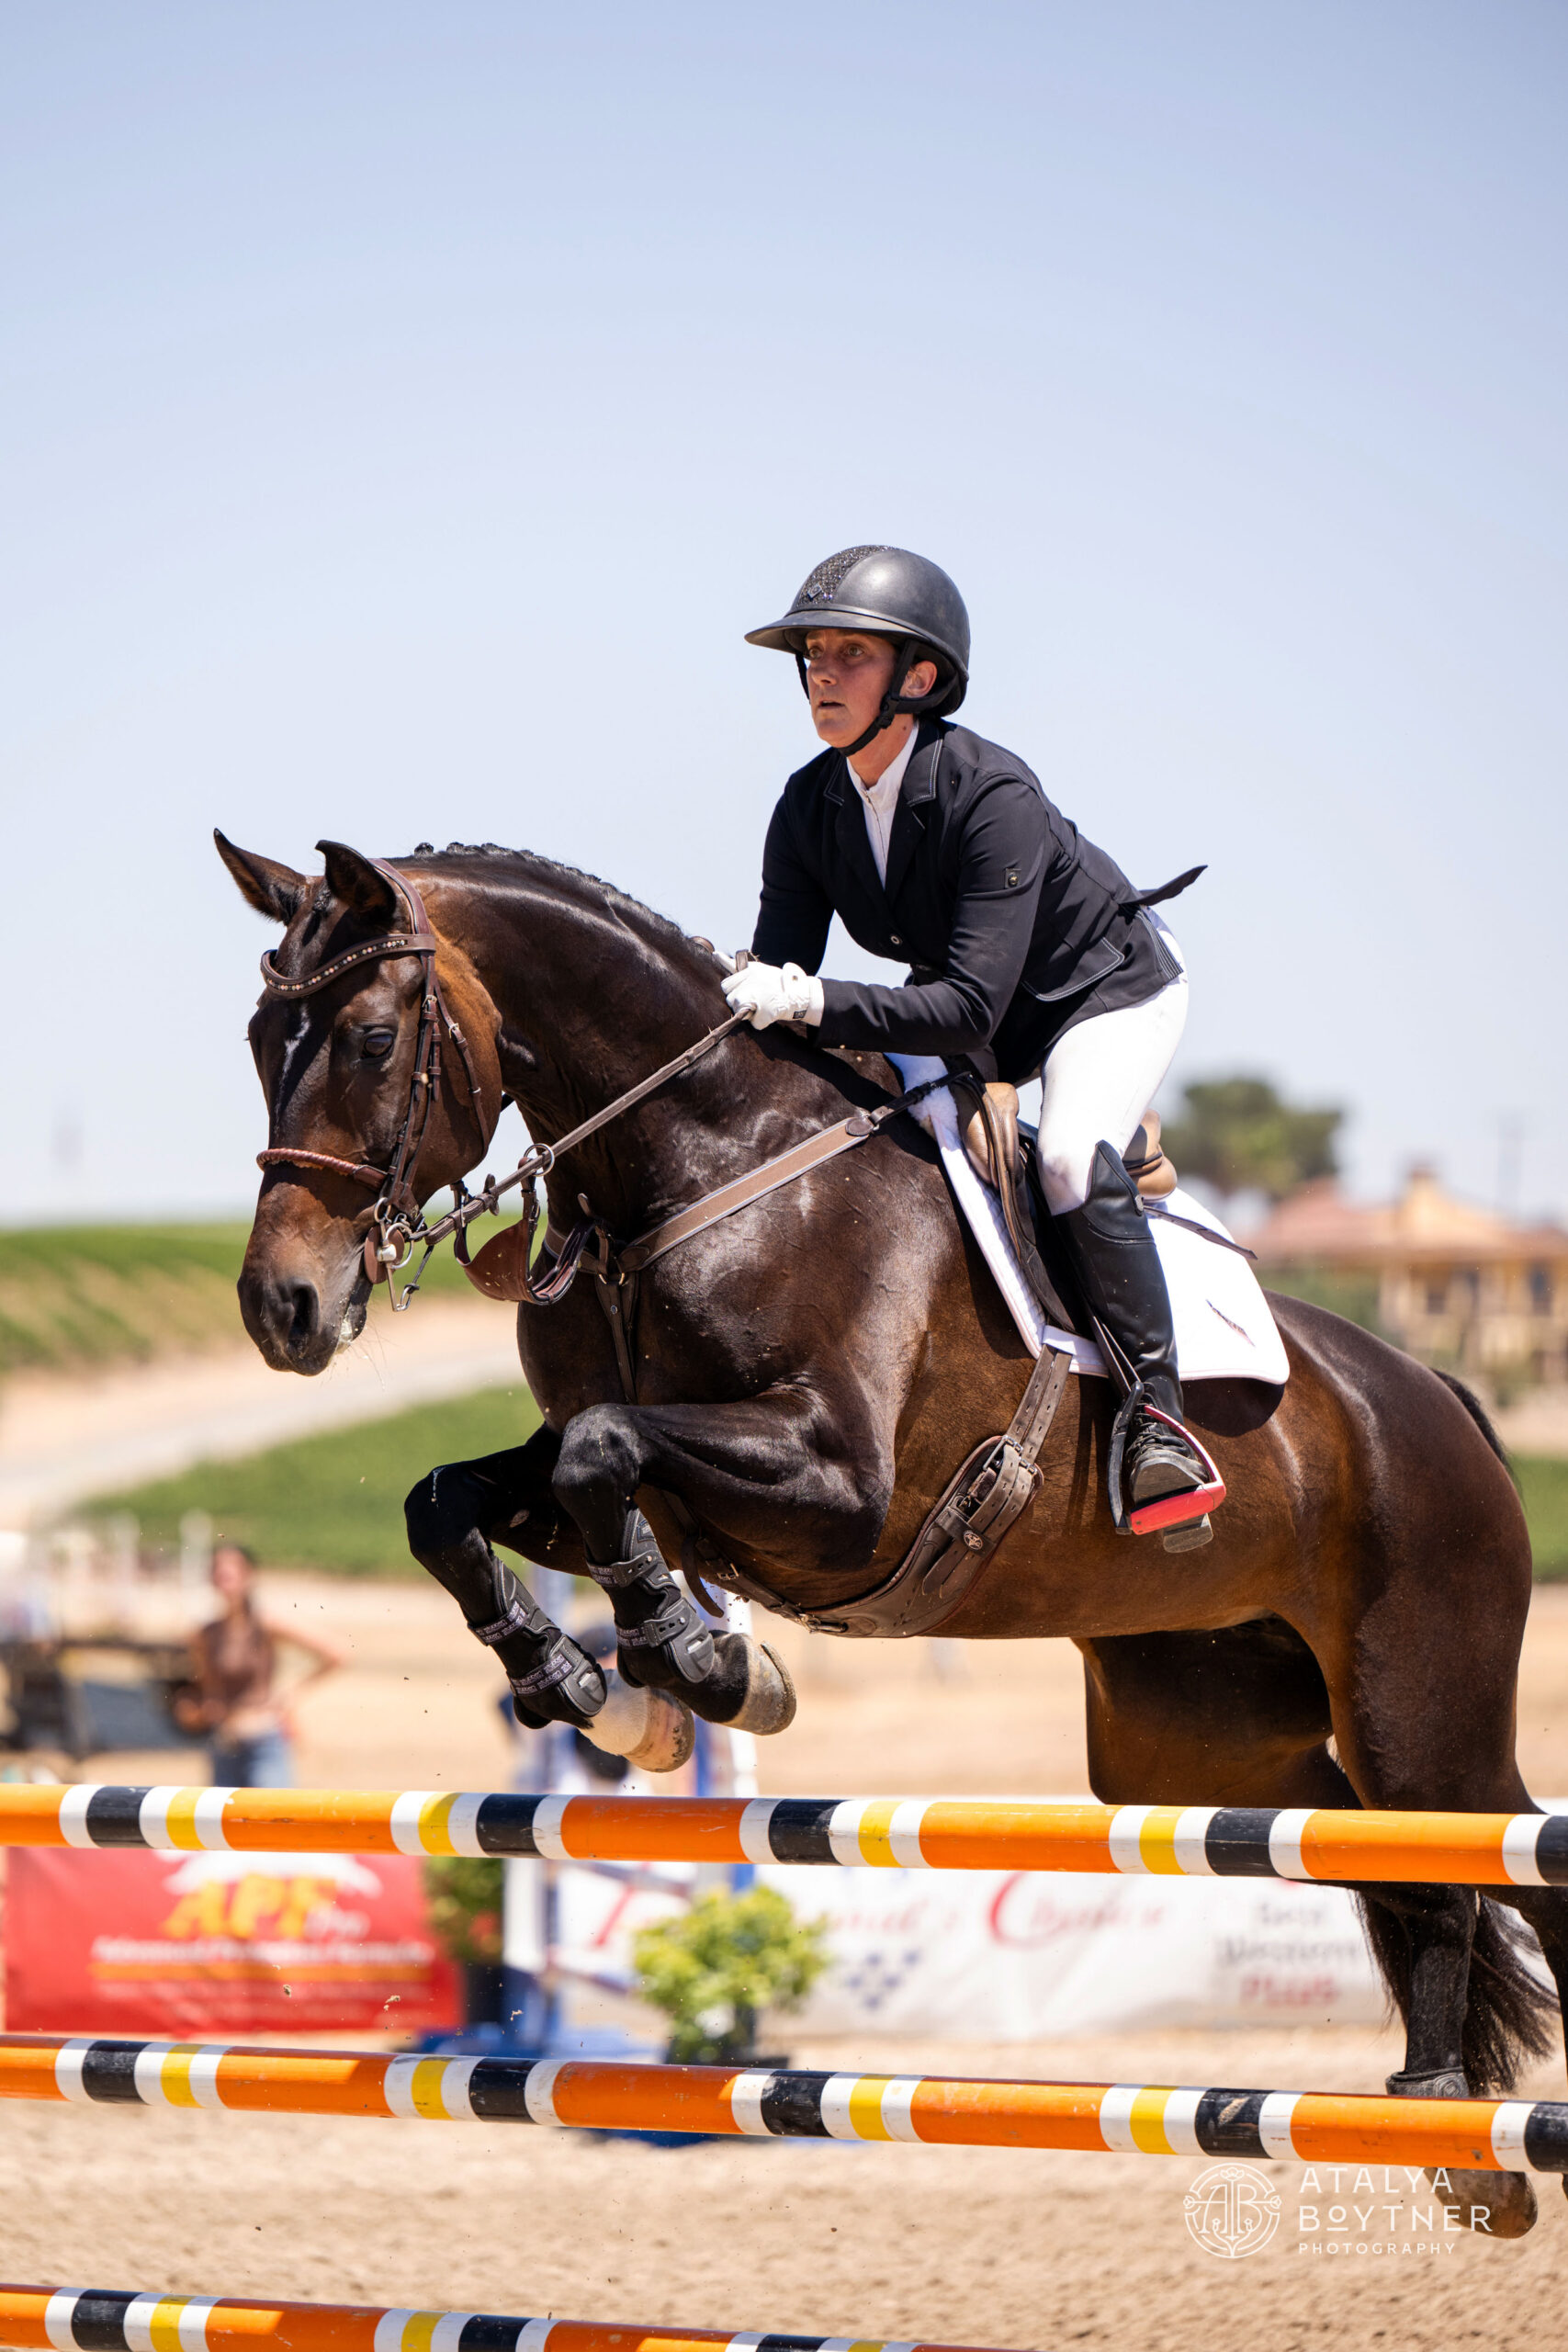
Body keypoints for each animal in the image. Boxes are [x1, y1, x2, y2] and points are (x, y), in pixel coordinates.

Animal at [219, 830, 1564, 2233]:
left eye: (371, 1037)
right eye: (261, 1037)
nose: (283, 1308)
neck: (699, 1164)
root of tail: (1439, 1397)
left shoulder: (838, 1486)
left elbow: (605, 1456)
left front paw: (700, 1665)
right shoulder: (645, 1482)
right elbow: (459, 1499)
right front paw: (601, 1691)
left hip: (1420, 1707)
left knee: (1482, 1851)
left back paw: (1454, 2122)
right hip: (1203, 1744)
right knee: (1373, 1856)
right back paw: (1442, 2114)